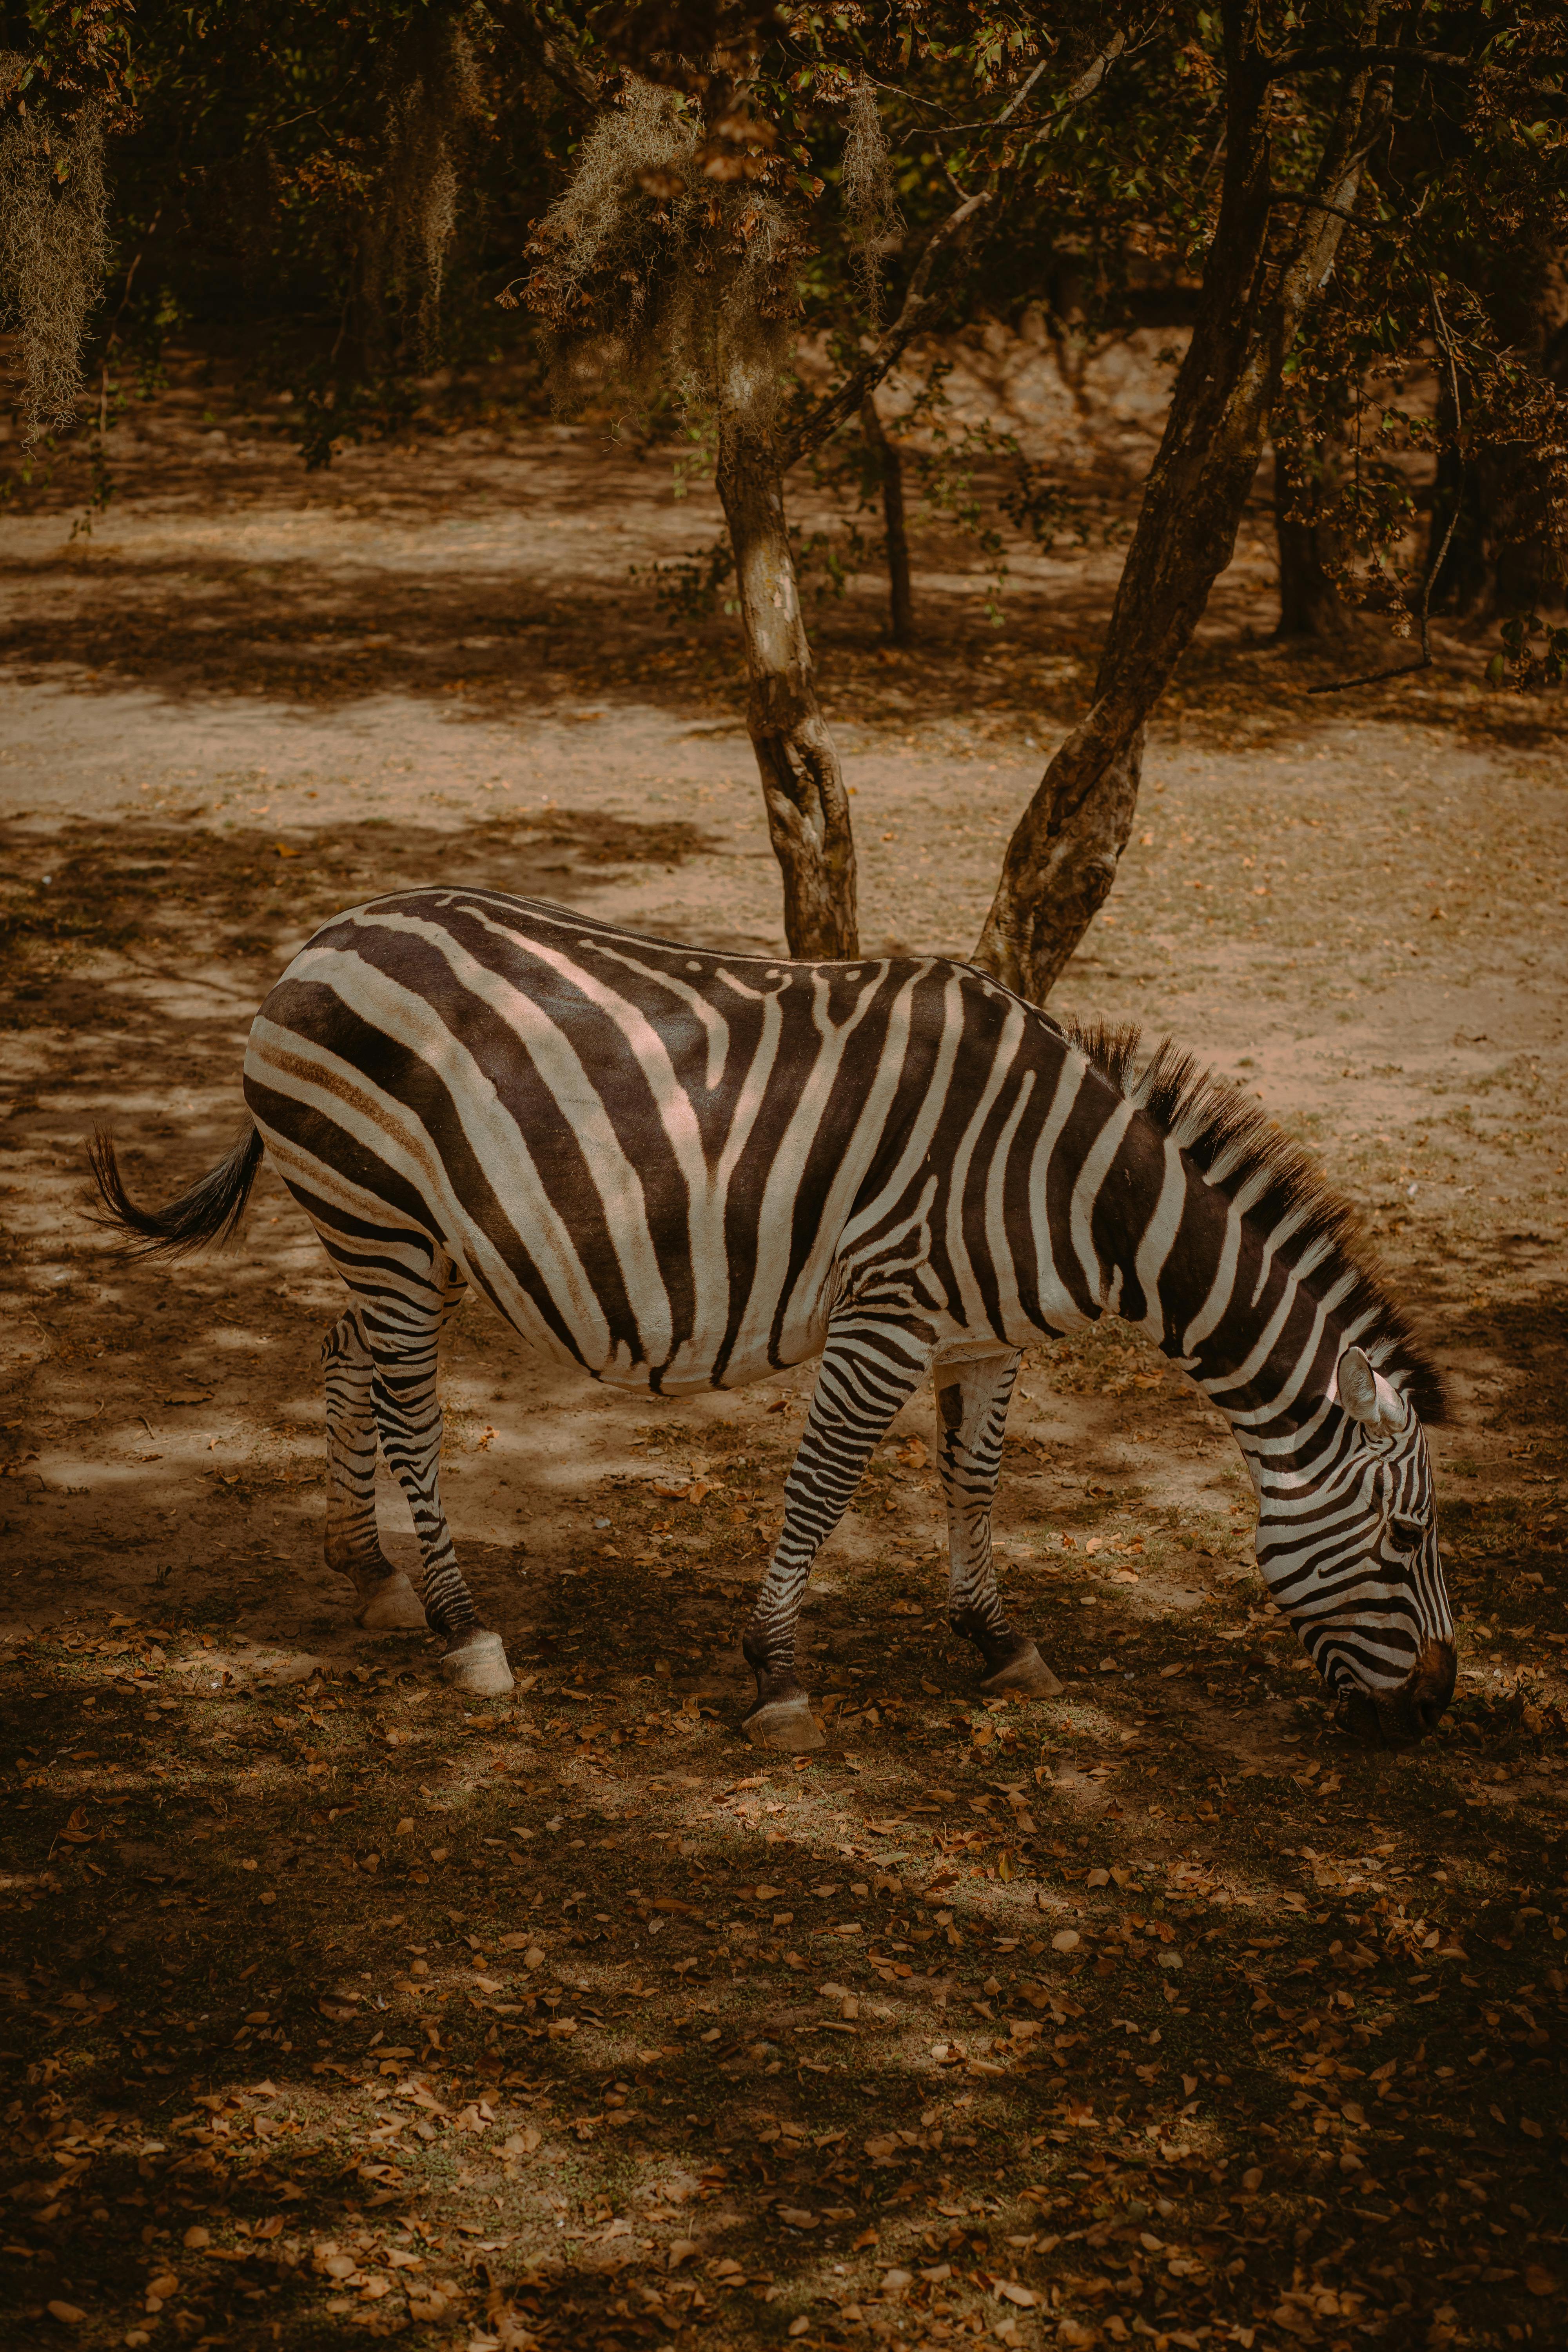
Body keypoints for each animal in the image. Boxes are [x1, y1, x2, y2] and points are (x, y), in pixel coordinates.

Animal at [88, 889, 1455, 1752]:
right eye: (1404, 1540)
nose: (1438, 1712)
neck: (1072, 1184)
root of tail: (327, 934)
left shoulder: (986, 1339)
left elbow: (974, 1483)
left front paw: (997, 1640)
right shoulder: (887, 1310)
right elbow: (823, 1486)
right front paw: (778, 1674)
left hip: (415, 1236)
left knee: (345, 1357)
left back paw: (368, 1569)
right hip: (374, 1209)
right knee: (411, 1411)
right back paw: (464, 1632)